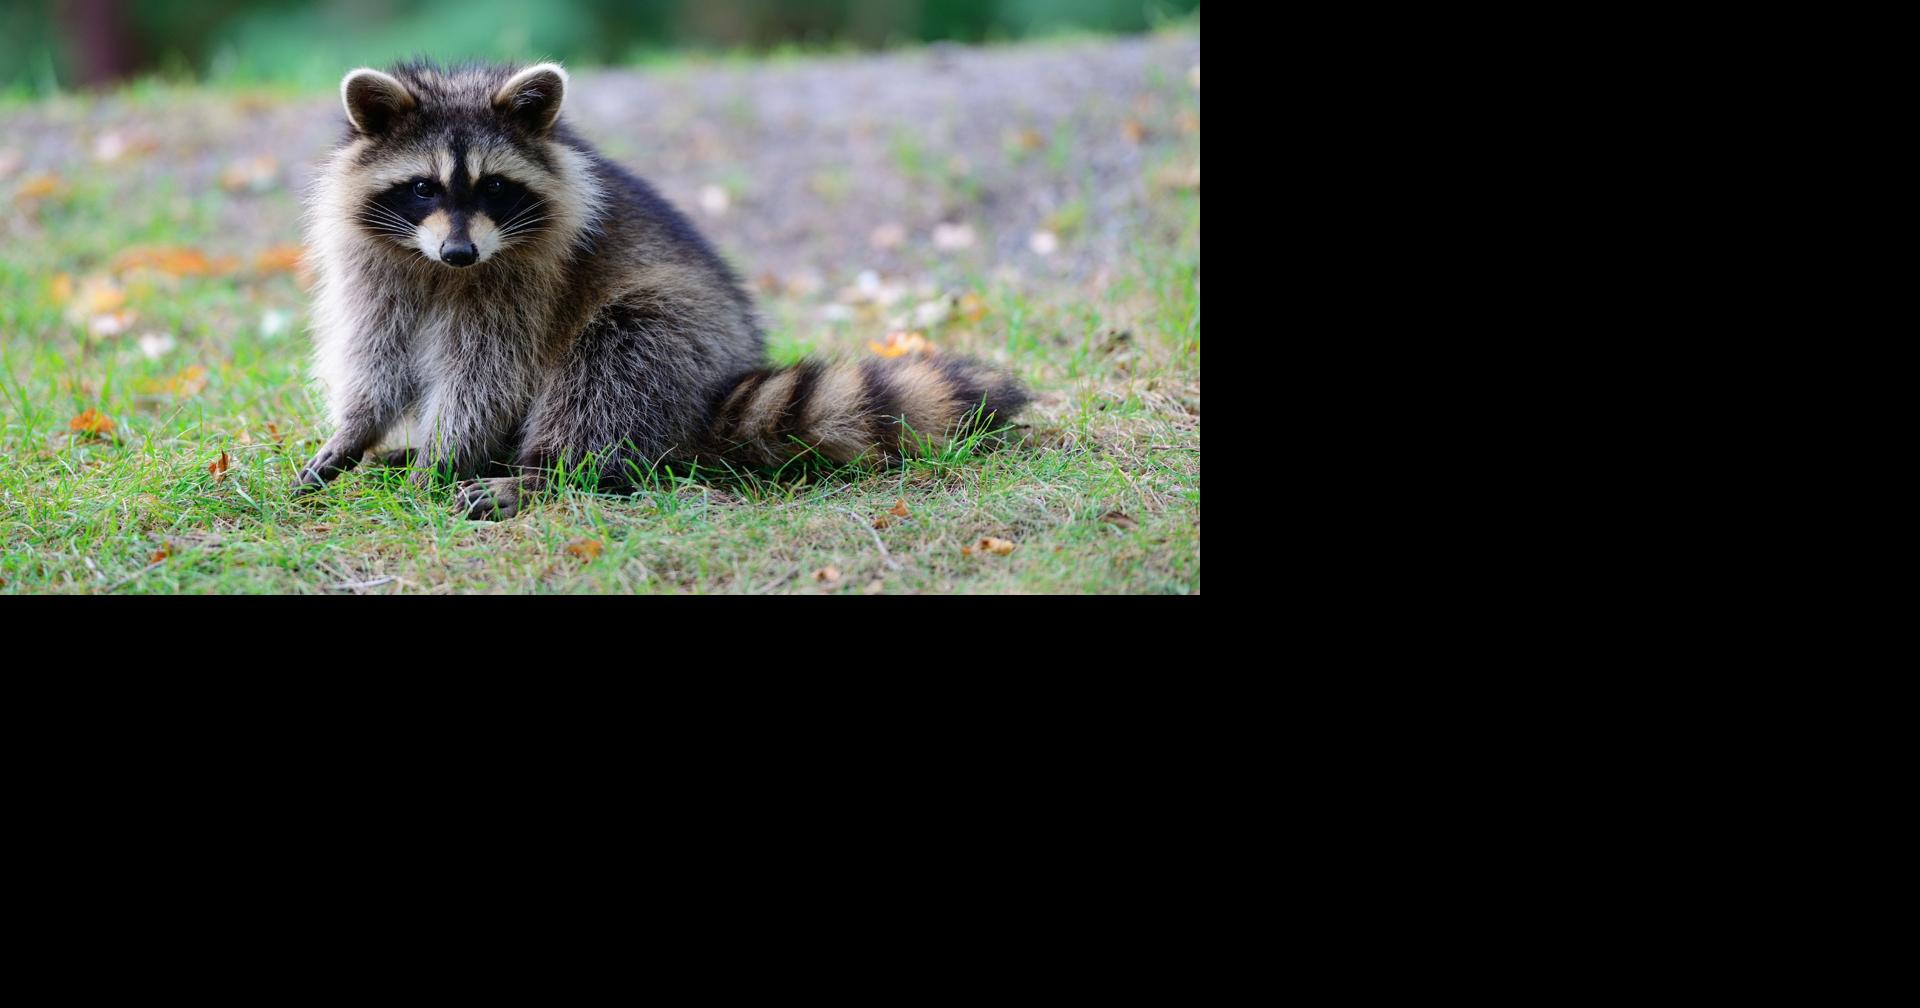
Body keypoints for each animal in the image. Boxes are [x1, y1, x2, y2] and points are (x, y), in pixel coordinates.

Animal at [294, 59, 1027, 519]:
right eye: (423, 187)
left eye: (495, 188)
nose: (460, 251)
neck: (440, 270)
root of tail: (719, 388)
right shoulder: (376, 267)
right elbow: (377, 356)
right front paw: (356, 432)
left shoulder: (525, 280)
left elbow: (488, 375)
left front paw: (445, 457)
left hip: (676, 337)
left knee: (612, 367)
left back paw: (543, 475)